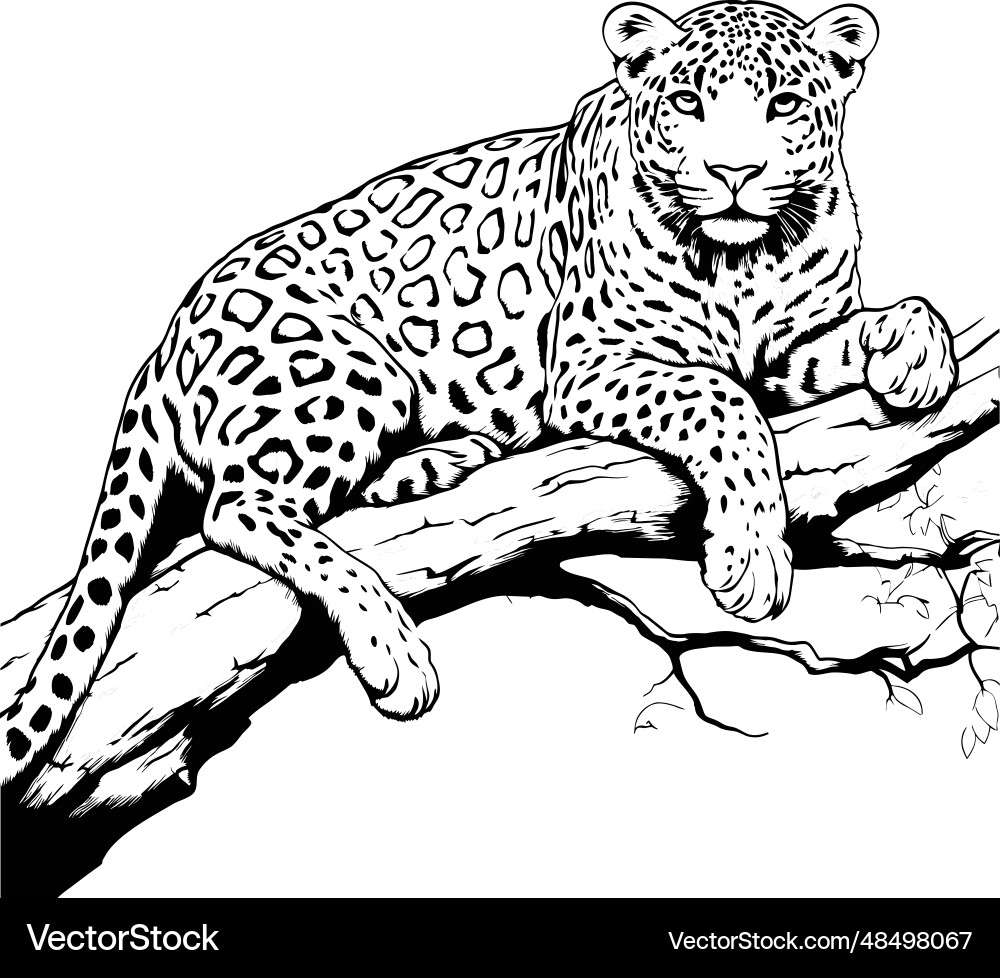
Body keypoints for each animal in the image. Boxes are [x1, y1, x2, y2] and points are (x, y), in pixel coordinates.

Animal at [2, 1, 958, 784]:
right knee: (233, 510)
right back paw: (392, 646)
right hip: (351, 371)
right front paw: (750, 559)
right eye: (686, 101)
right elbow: (724, 402)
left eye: (785, 105)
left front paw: (916, 353)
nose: (733, 171)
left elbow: (878, 323)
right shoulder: (594, 365)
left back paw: (437, 461)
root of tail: (164, 342)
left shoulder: (790, 348)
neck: (745, 259)